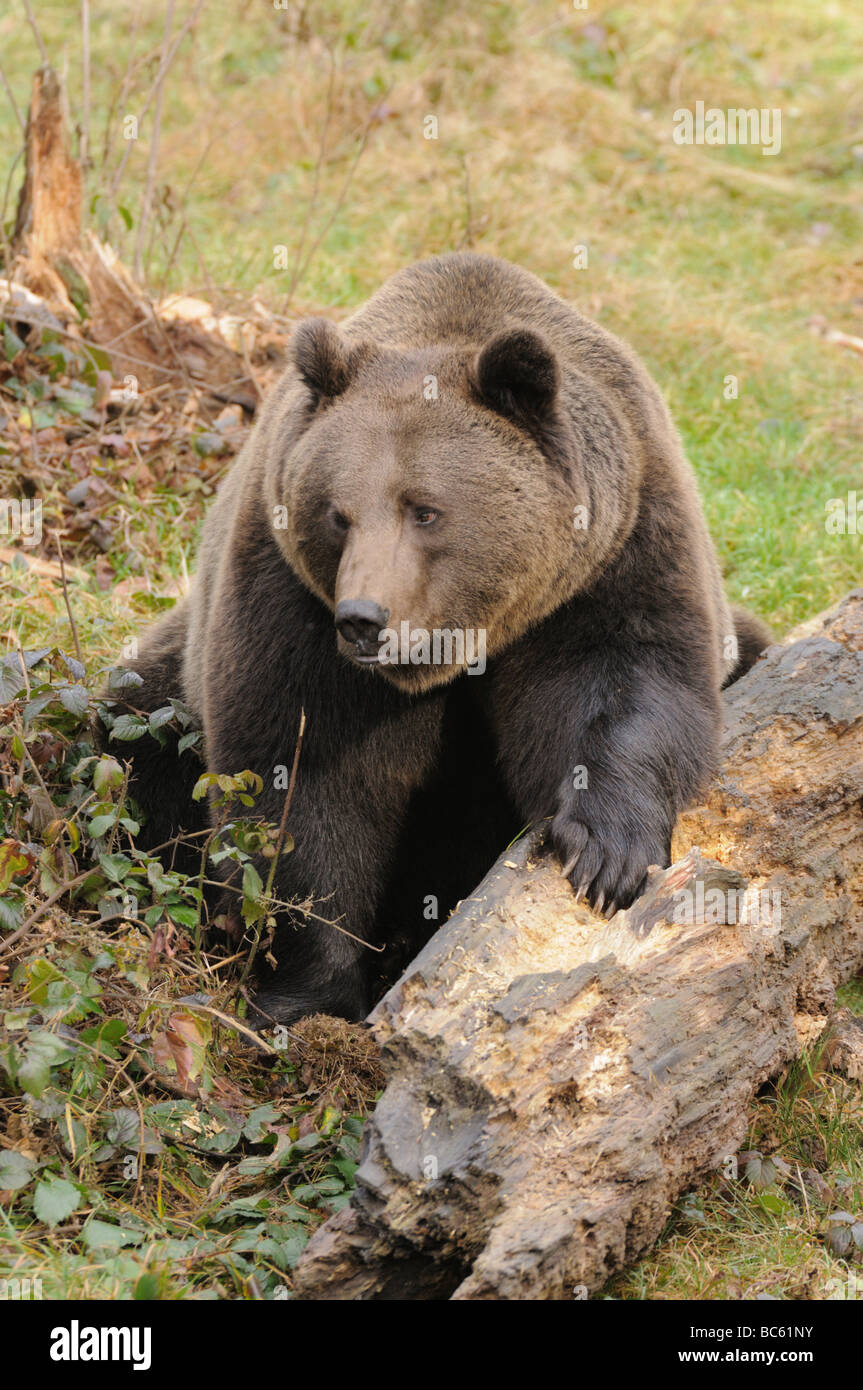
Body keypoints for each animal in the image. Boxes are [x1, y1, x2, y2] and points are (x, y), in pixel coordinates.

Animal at [102, 252, 770, 1027]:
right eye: (337, 514)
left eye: (425, 510)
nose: (363, 617)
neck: (456, 646)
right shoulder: (286, 595)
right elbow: (301, 780)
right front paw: (308, 996)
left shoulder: (615, 549)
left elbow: (629, 677)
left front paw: (608, 855)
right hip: (169, 682)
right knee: (134, 743)